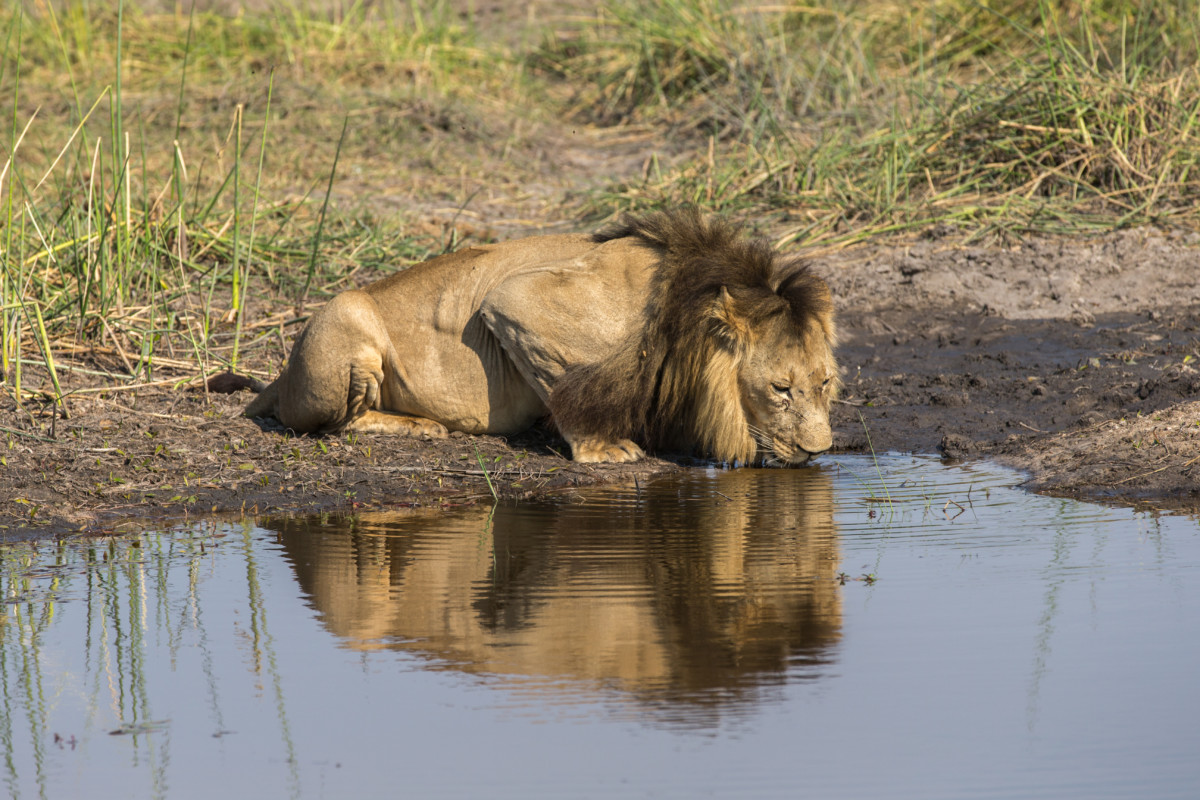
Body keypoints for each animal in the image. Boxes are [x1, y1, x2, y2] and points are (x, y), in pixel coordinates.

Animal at [245, 207, 839, 464]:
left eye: (826, 384)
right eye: (780, 390)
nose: (819, 451)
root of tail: (280, 376)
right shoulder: (515, 303)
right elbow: (566, 383)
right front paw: (601, 447)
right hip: (346, 315)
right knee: (333, 423)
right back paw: (420, 427)